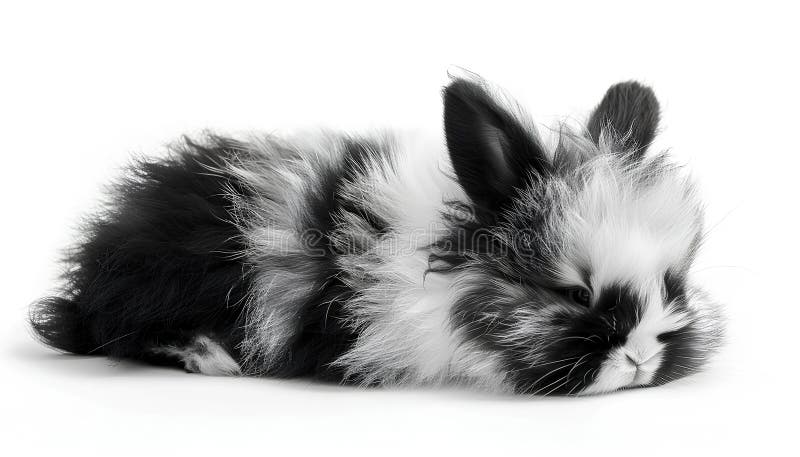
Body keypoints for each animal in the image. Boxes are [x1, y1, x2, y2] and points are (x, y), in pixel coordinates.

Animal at [29, 73, 724, 395]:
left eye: (673, 286)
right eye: (575, 295)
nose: (641, 358)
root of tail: (97, 259)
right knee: (123, 334)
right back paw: (212, 358)